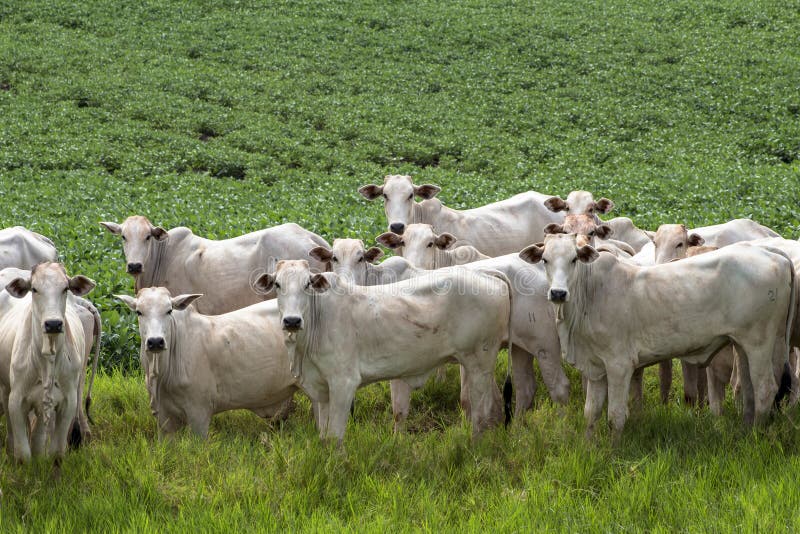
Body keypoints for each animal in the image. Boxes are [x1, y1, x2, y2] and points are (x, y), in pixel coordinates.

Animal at [0, 263, 95, 463]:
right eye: (34, 289)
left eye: (65, 288)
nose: (53, 324)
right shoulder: (16, 401)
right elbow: (23, 454)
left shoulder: (67, 403)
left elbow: (56, 452)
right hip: (6, 390)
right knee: (14, 435)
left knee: (38, 439)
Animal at [254, 260, 511, 444]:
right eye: (277, 284)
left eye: (307, 284)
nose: (292, 321)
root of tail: (486, 274)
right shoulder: (322, 389)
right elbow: (324, 437)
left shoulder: (344, 383)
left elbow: (335, 437)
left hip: (480, 363)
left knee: (480, 412)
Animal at [520, 234, 794, 438]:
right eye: (544, 259)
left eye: (574, 259)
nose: (558, 293)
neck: (590, 294)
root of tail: (768, 252)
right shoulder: (595, 368)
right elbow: (591, 413)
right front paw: (590, 447)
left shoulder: (619, 365)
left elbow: (615, 416)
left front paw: (613, 450)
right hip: (742, 344)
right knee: (747, 388)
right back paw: (747, 429)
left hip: (760, 342)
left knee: (765, 388)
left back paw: (756, 435)